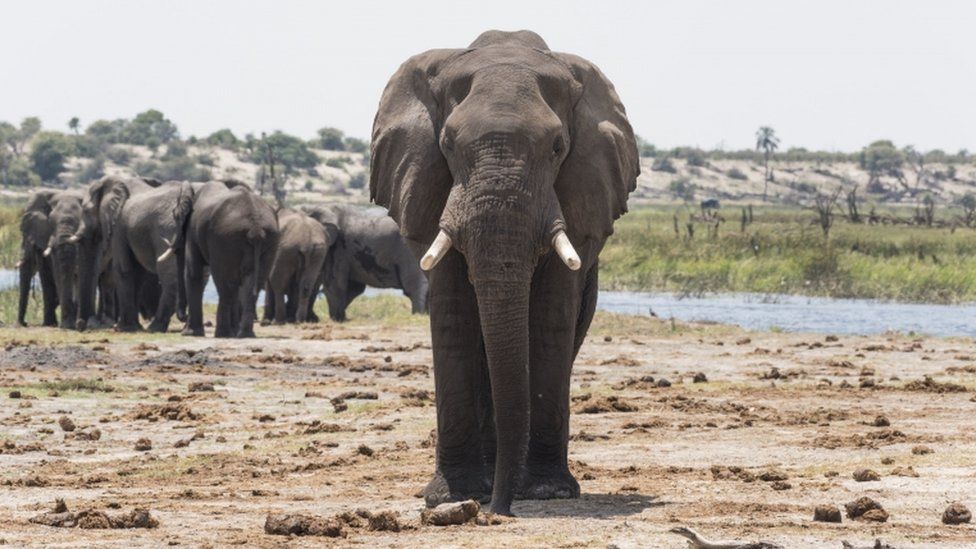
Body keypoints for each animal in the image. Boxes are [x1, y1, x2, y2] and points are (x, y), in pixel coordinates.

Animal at [112, 181, 192, 332]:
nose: (185, 316)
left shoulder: (119, 226)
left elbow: (124, 269)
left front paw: (122, 328)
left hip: (165, 227)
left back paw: (154, 328)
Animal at [168, 180, 279, 338]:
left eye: (175, 214)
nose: (184, 317)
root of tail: (256, 229)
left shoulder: (193, 232)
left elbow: (193, 273)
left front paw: (190, 333)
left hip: (224, 238)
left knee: (226, 284)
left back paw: (223, 334)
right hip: (269, 238)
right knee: (252, 284)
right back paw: (244, 334)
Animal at [299, 204, 429, 322]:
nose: (312, 318)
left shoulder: (339, 248)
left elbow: (334, 283)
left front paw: (338, 319)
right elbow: (354, 288)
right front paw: (341, 318)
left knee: (414, 285)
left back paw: (419, 316)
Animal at [370, 30, 639, 515]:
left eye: (557, 148)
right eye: (447, 145)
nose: (497, 511)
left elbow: (550, 316)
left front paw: (548, 491)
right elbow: (452, 313)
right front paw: (451, 495)